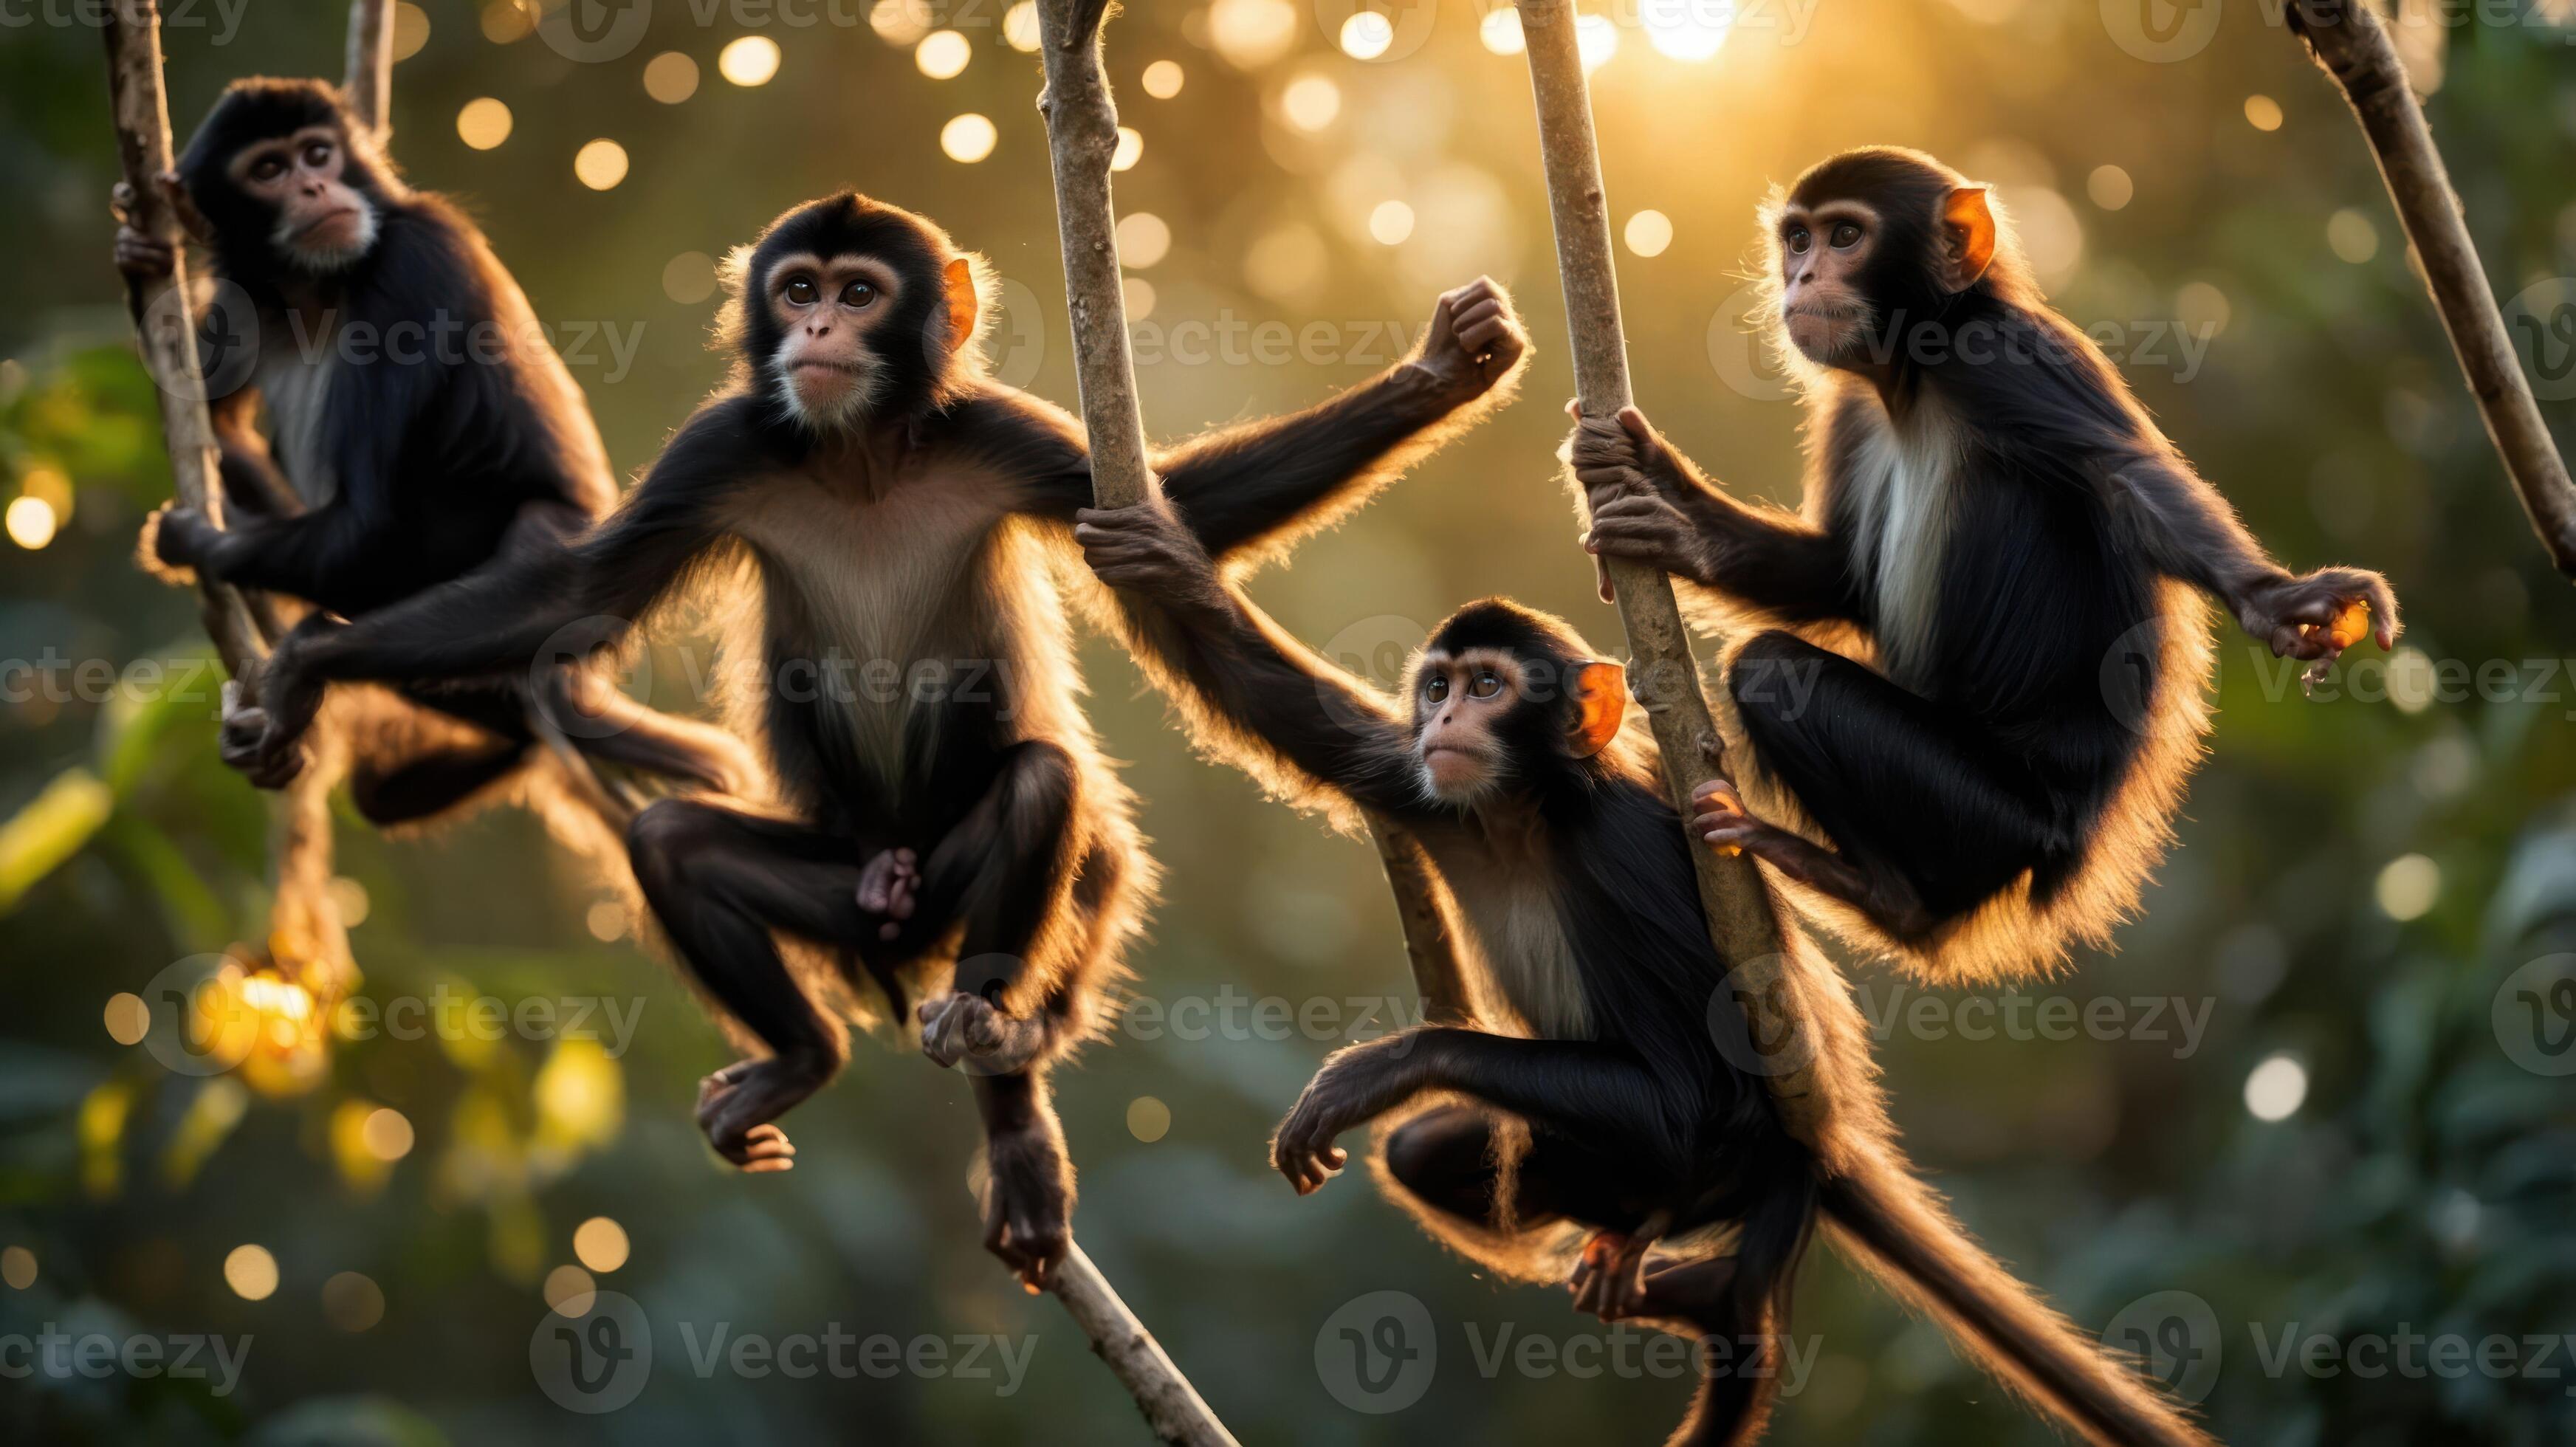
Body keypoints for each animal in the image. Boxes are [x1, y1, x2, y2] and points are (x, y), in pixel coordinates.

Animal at [114, 77, 753, 830]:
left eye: (318, 154)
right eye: (269, 170)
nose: (315, 188)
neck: (317, 290)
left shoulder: (413, 256)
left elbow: (368, 530)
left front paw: (198, 544)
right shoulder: (245, 292)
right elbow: (212, 427)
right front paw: (141, 255)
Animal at [216, 190, 1533, 1287]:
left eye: (858, 295)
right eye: (798, 288)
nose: (811, 331)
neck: (854, 456)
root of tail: (900, 910)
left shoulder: (990, 433)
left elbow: (1175, 517)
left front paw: (1437, 378)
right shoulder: (720, 446)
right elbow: (569, 602)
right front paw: (311, 665)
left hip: (947, 895)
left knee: (1038, 789)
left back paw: (1002, 1092)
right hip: (841, 889)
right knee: (678, 841)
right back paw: (803, 1057)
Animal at [1074, 497, 2214, 1446]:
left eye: (1486, 687)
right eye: (1437, 686)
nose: (1443, 720)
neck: (1523, 820)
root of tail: (1830, 1141)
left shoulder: (1620, 854)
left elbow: (1682, 1094)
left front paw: (1391, 1065)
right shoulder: (1412, 780)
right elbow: (1266, 696)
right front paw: (1161, 560)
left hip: (1745, 1160)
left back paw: (1735, 1300)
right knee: (1436, 1154)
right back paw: (1652, 1260)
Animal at [1570, 146, 2399, 984]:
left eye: (1845, 236)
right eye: (1798, 238)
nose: (1800, 276)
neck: (1914, 373)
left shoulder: (2005, 358)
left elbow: (2123, 482)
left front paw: (2276, 598)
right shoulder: (1852, 410)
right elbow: (1836, 577)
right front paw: (1662, 493)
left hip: (1989, 820)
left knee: (1773, 669)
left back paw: (1886, 895)